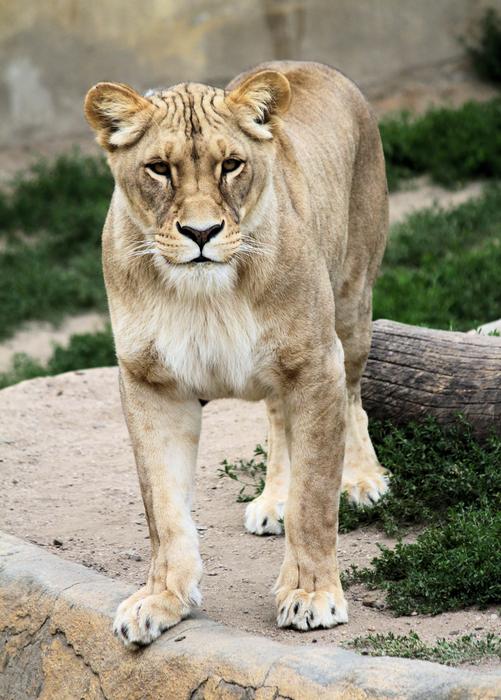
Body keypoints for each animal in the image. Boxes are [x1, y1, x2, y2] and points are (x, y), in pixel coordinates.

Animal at [84, 60, 388, 648]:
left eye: (231, 165)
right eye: (159, 169)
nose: (201, 232)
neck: (205, 294)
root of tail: (312, 65)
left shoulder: (316, 361)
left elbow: (315, 498)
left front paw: (312, 595)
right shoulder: (150, 381)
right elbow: (163, 508)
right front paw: (161, 599)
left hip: (351, 305)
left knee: (355, 398)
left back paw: (363, 480)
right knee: (278, 418)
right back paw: (273, 500)